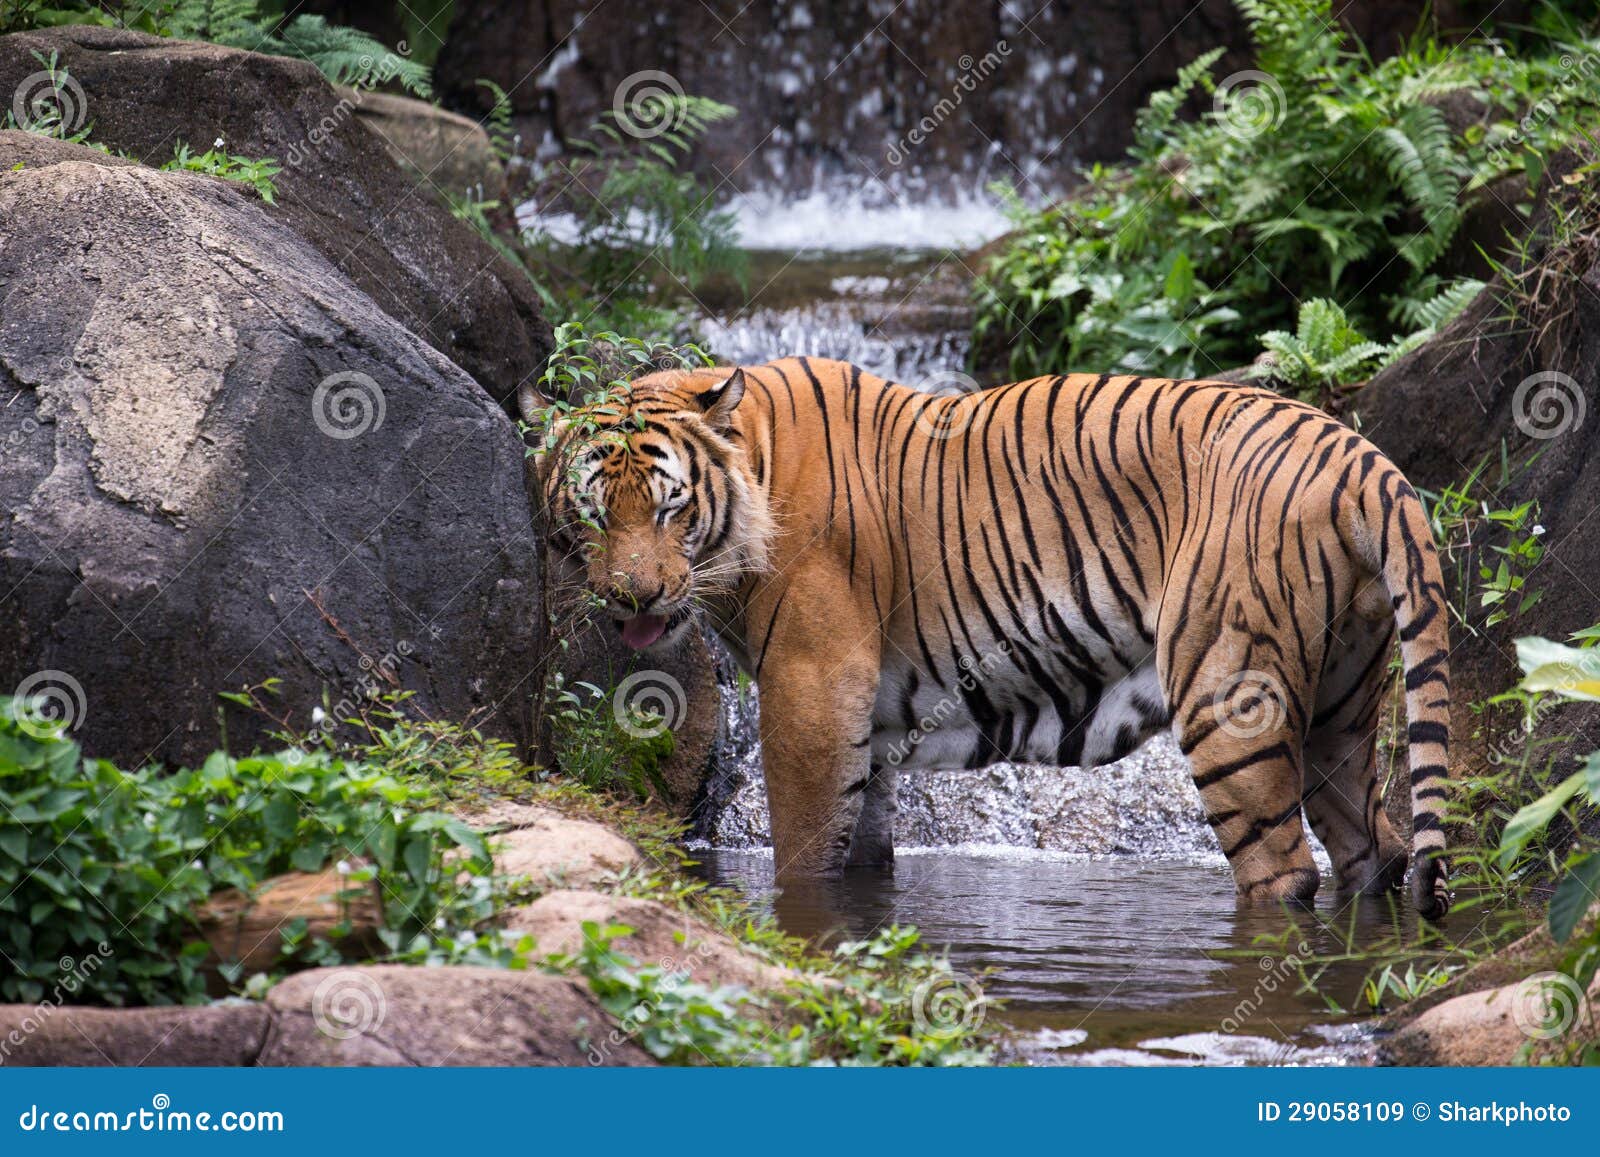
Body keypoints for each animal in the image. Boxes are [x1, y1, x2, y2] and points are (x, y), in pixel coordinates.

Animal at [528, 356, 1453, 916]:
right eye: (595, 511)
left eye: (670, 508)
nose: (633, 595)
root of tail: (1358, 456)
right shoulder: (867, 723)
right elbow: (865, 850)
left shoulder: (811, 688)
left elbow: (803, 854)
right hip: (1341, 702)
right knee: (1377, 848)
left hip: (1230, 696)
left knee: (1287, 872)